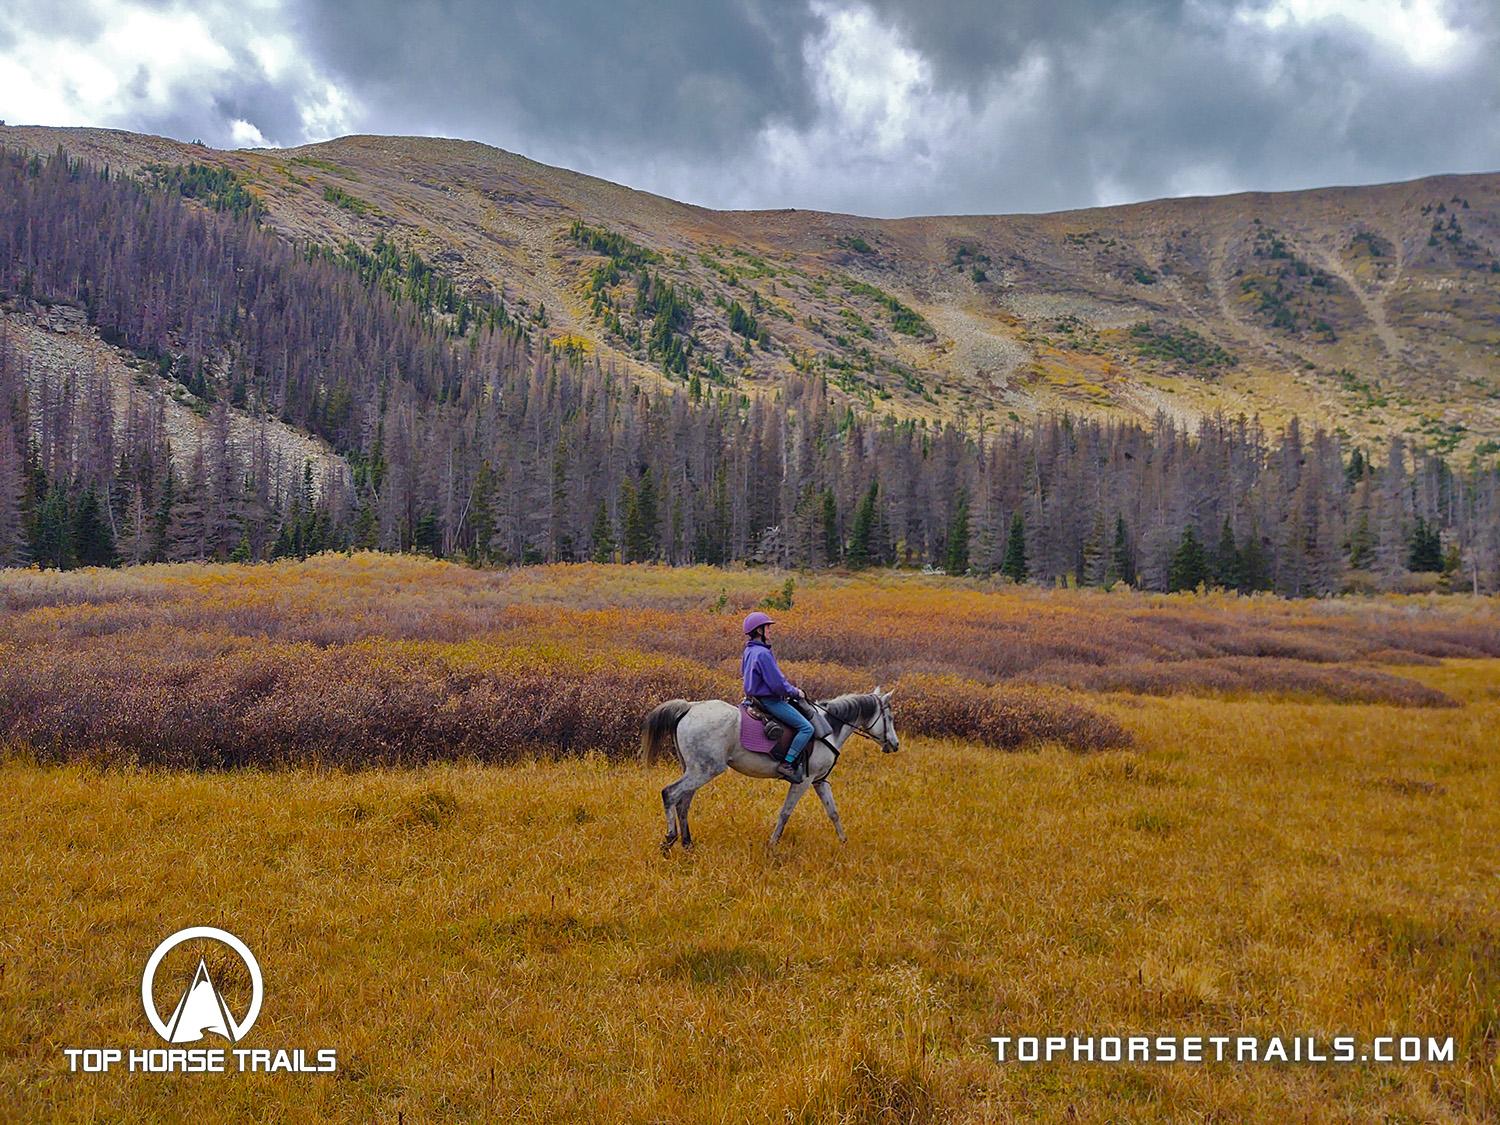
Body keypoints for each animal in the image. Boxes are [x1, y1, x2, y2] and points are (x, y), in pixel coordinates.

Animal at [639, 688, 900, 852]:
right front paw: (773, 845)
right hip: (704, 770)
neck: (829, 729)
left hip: (695, 770)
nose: (895, 744)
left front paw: (844, 843)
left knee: (683, 803)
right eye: (889, 717)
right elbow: (785, 813)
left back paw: (687, 844)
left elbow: (833, 812)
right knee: (670, 794)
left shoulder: (820, 781)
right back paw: (669, 840)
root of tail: (689, 708)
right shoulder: (804, 781)